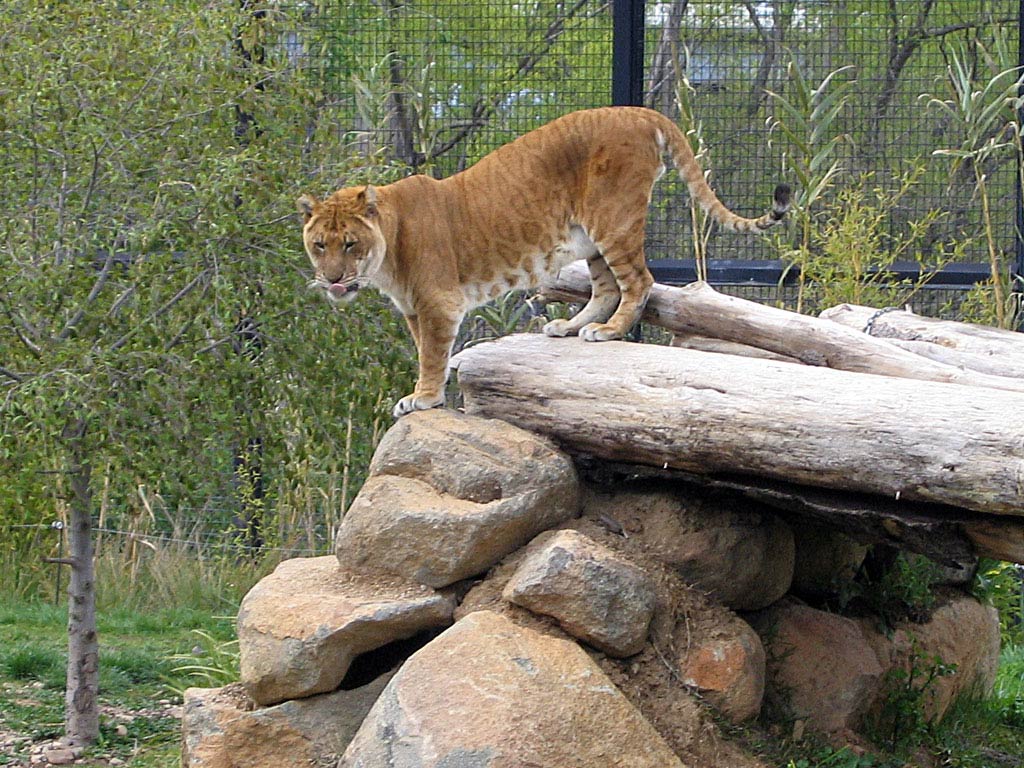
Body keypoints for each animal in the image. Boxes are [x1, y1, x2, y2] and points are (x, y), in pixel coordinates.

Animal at [298, 106, 790, 418]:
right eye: (320, 245)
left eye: (350, 244)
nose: (333, 279)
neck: (388, 254)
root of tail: (640, 111)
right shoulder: (415, 310)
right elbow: (425, 352)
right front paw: (423, 396)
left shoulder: (438, 304)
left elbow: (432, 357)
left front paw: (424, 398)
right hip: (590, 236)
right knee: (606, 286)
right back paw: (570, 327)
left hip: (613, 219)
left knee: (639, 281)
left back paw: (608, 332)